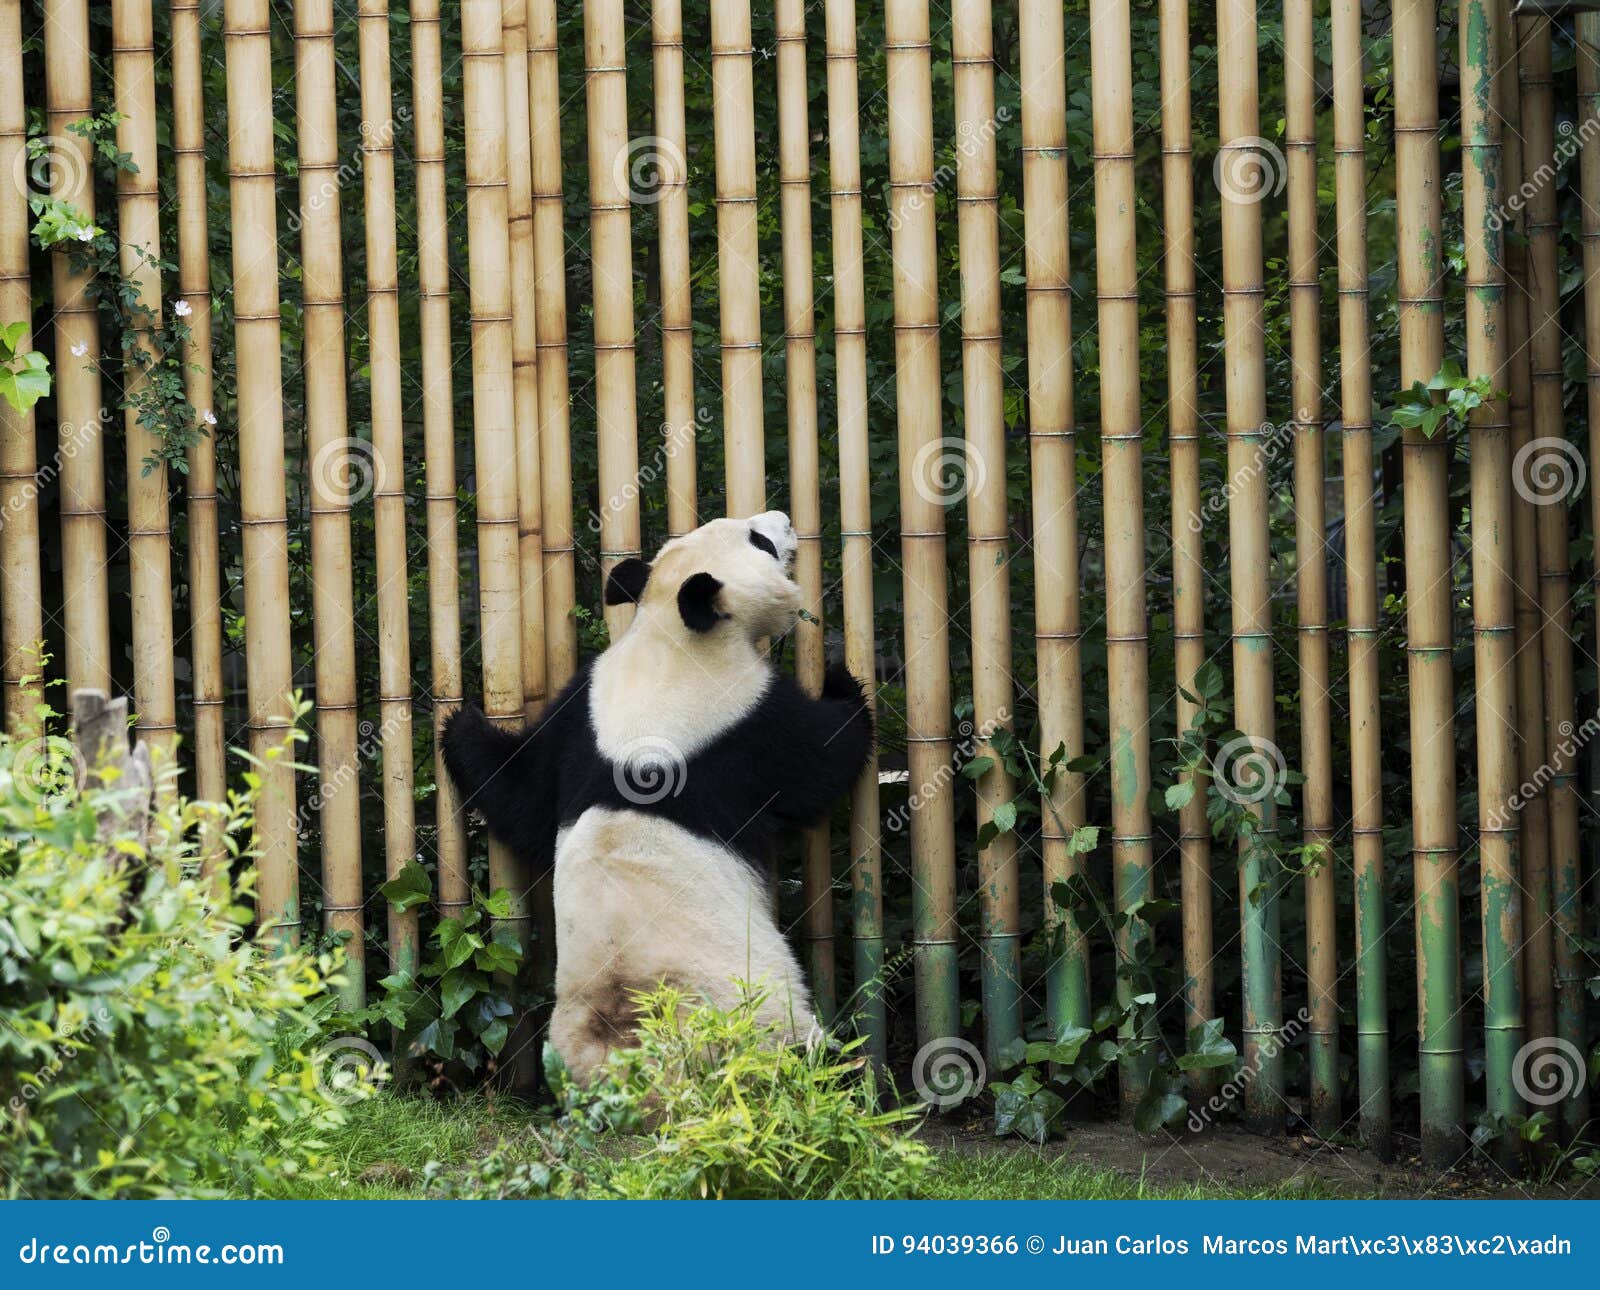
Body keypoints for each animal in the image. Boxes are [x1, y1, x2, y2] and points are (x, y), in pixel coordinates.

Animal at [442, 510, 875, 1083]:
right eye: (757, 541)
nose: (782, 520)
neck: (671, 639)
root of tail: (624, 1057)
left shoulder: (582, 714)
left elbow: (523, 792)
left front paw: (458, 725)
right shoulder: (749, 722)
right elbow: (824, 759)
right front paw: (844, 679)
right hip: (751, 1019)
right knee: (803, 1060)